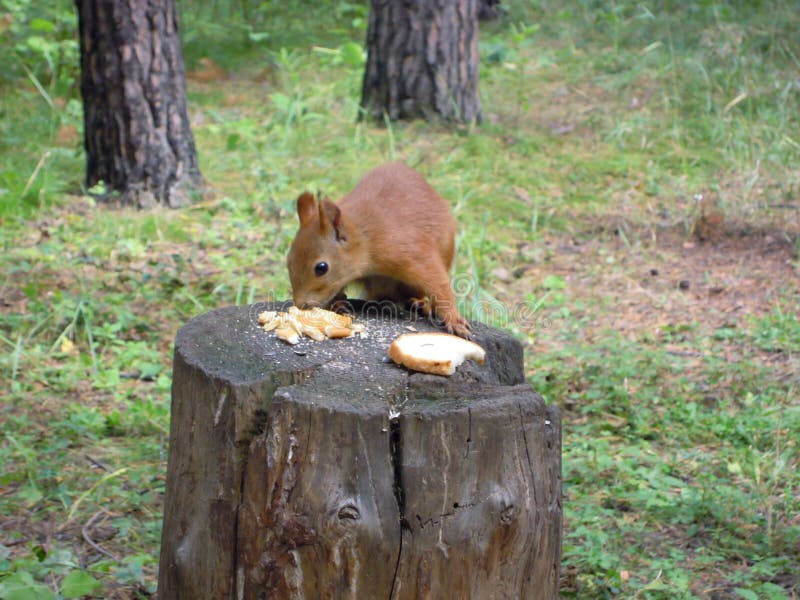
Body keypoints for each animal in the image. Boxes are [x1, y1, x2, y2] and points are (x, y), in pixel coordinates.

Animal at [287, 162, 471, 338]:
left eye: (321, 268)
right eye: (288, 261)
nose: (300, 305)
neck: (365, 237)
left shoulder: (412, 251)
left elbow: (438, 284)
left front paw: (454, 320)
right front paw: (336, 303)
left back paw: (420, 302)